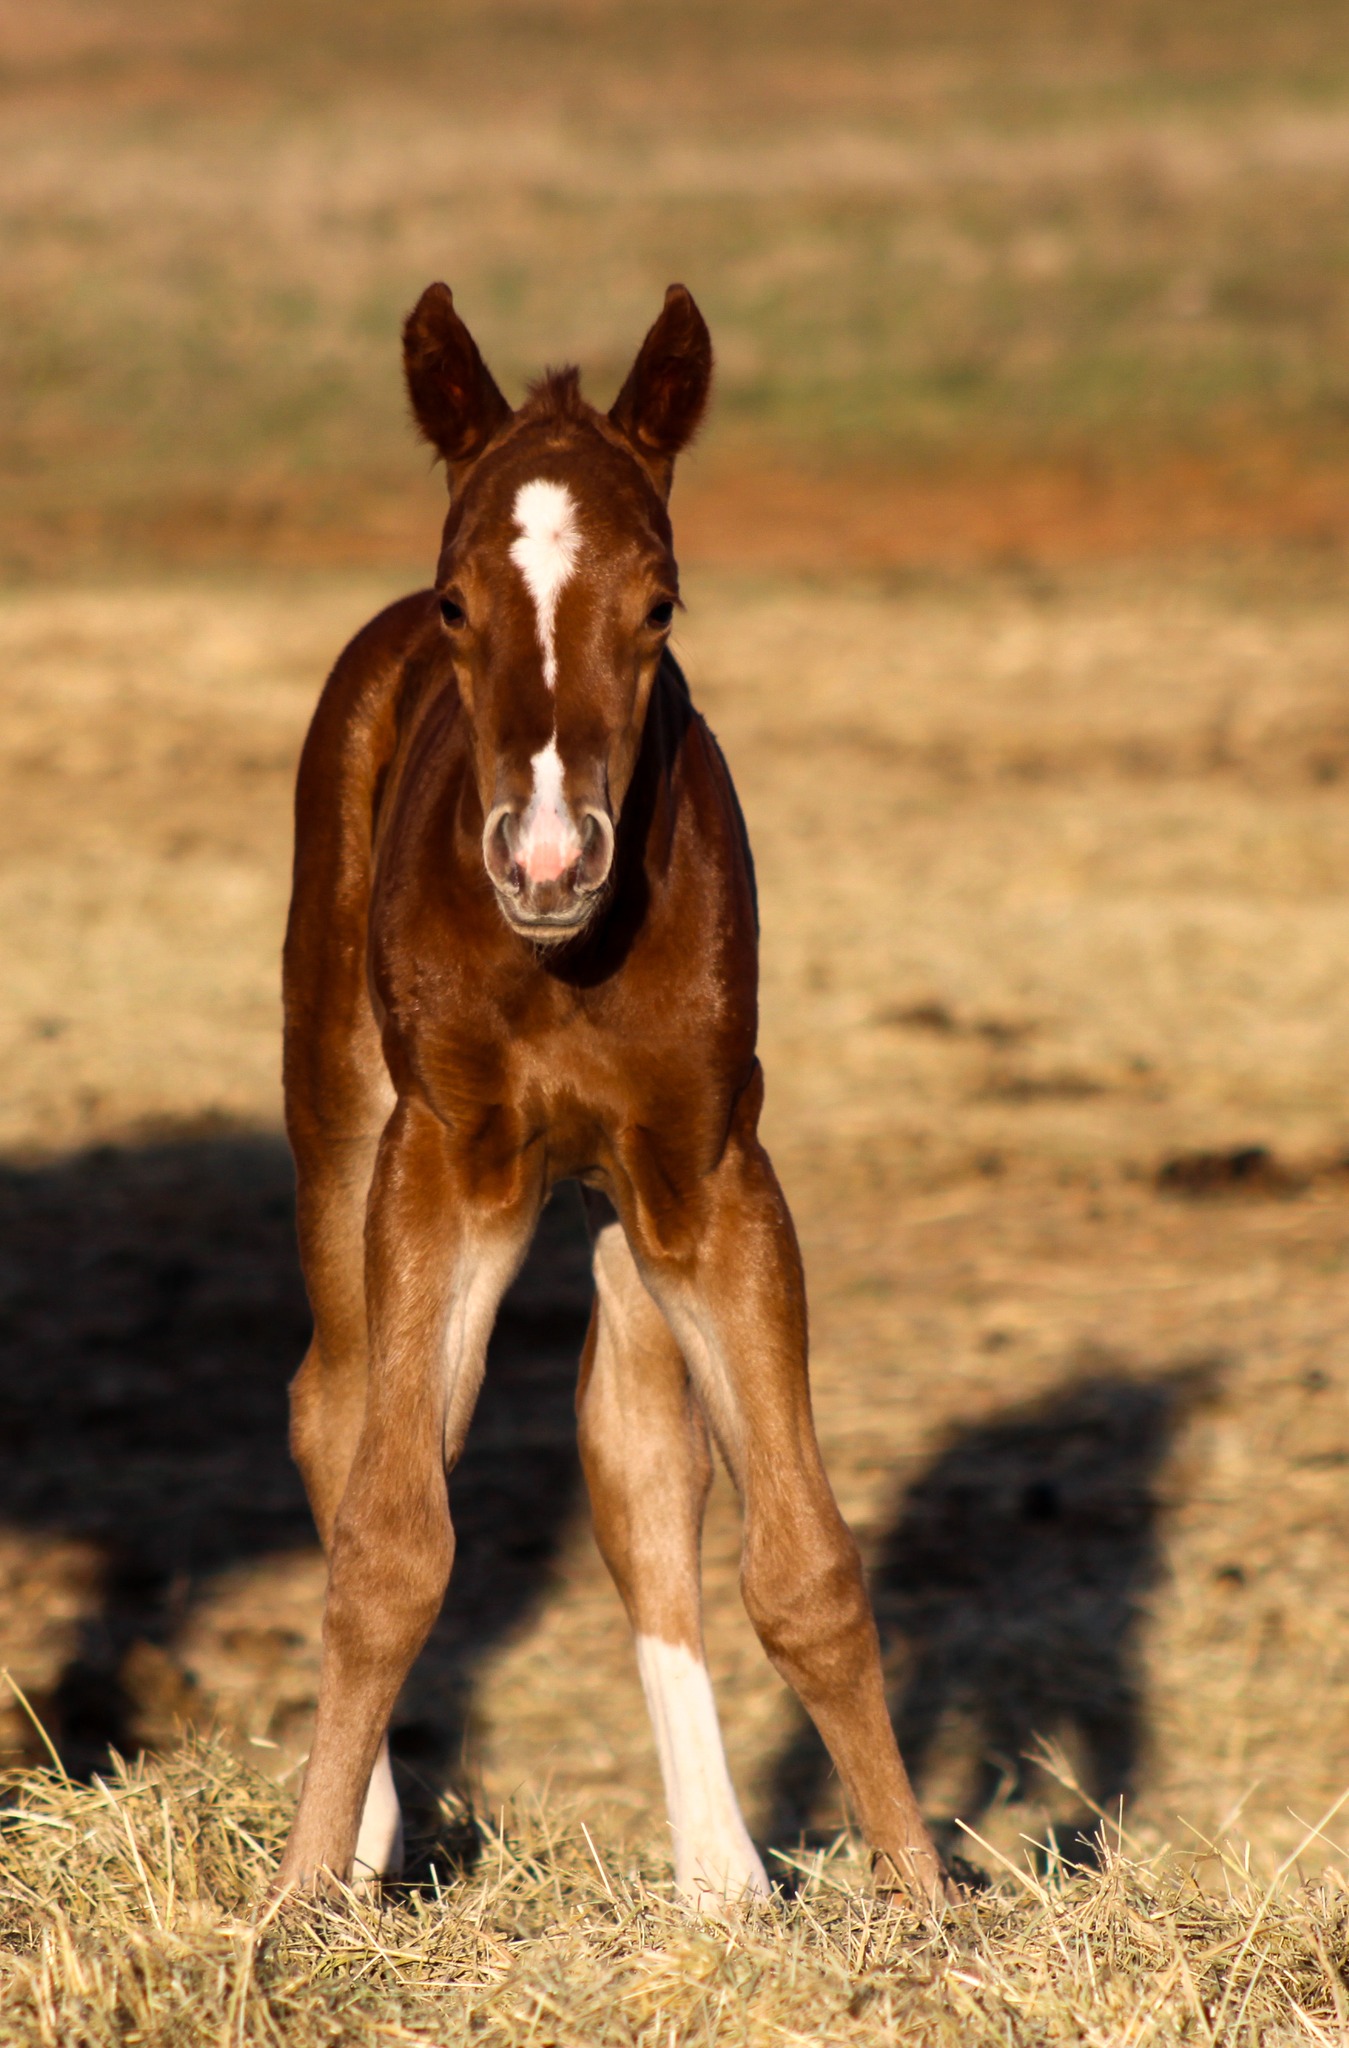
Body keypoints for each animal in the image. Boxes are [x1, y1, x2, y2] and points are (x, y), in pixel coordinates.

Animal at [275, 281, 949, 1911]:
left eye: (660, 605)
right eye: (459, 603)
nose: (545, 857)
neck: (565, 962)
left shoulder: (703, 1172)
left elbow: (805, 1562)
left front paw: (928, 1907)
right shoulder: (444, 1163)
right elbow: (392, 1537)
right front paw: (296, 1906)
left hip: (611, 1203)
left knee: (637, 1457)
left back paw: (719, 1877)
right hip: (341, 1116)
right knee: (343, 1408)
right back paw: (368, 1832)